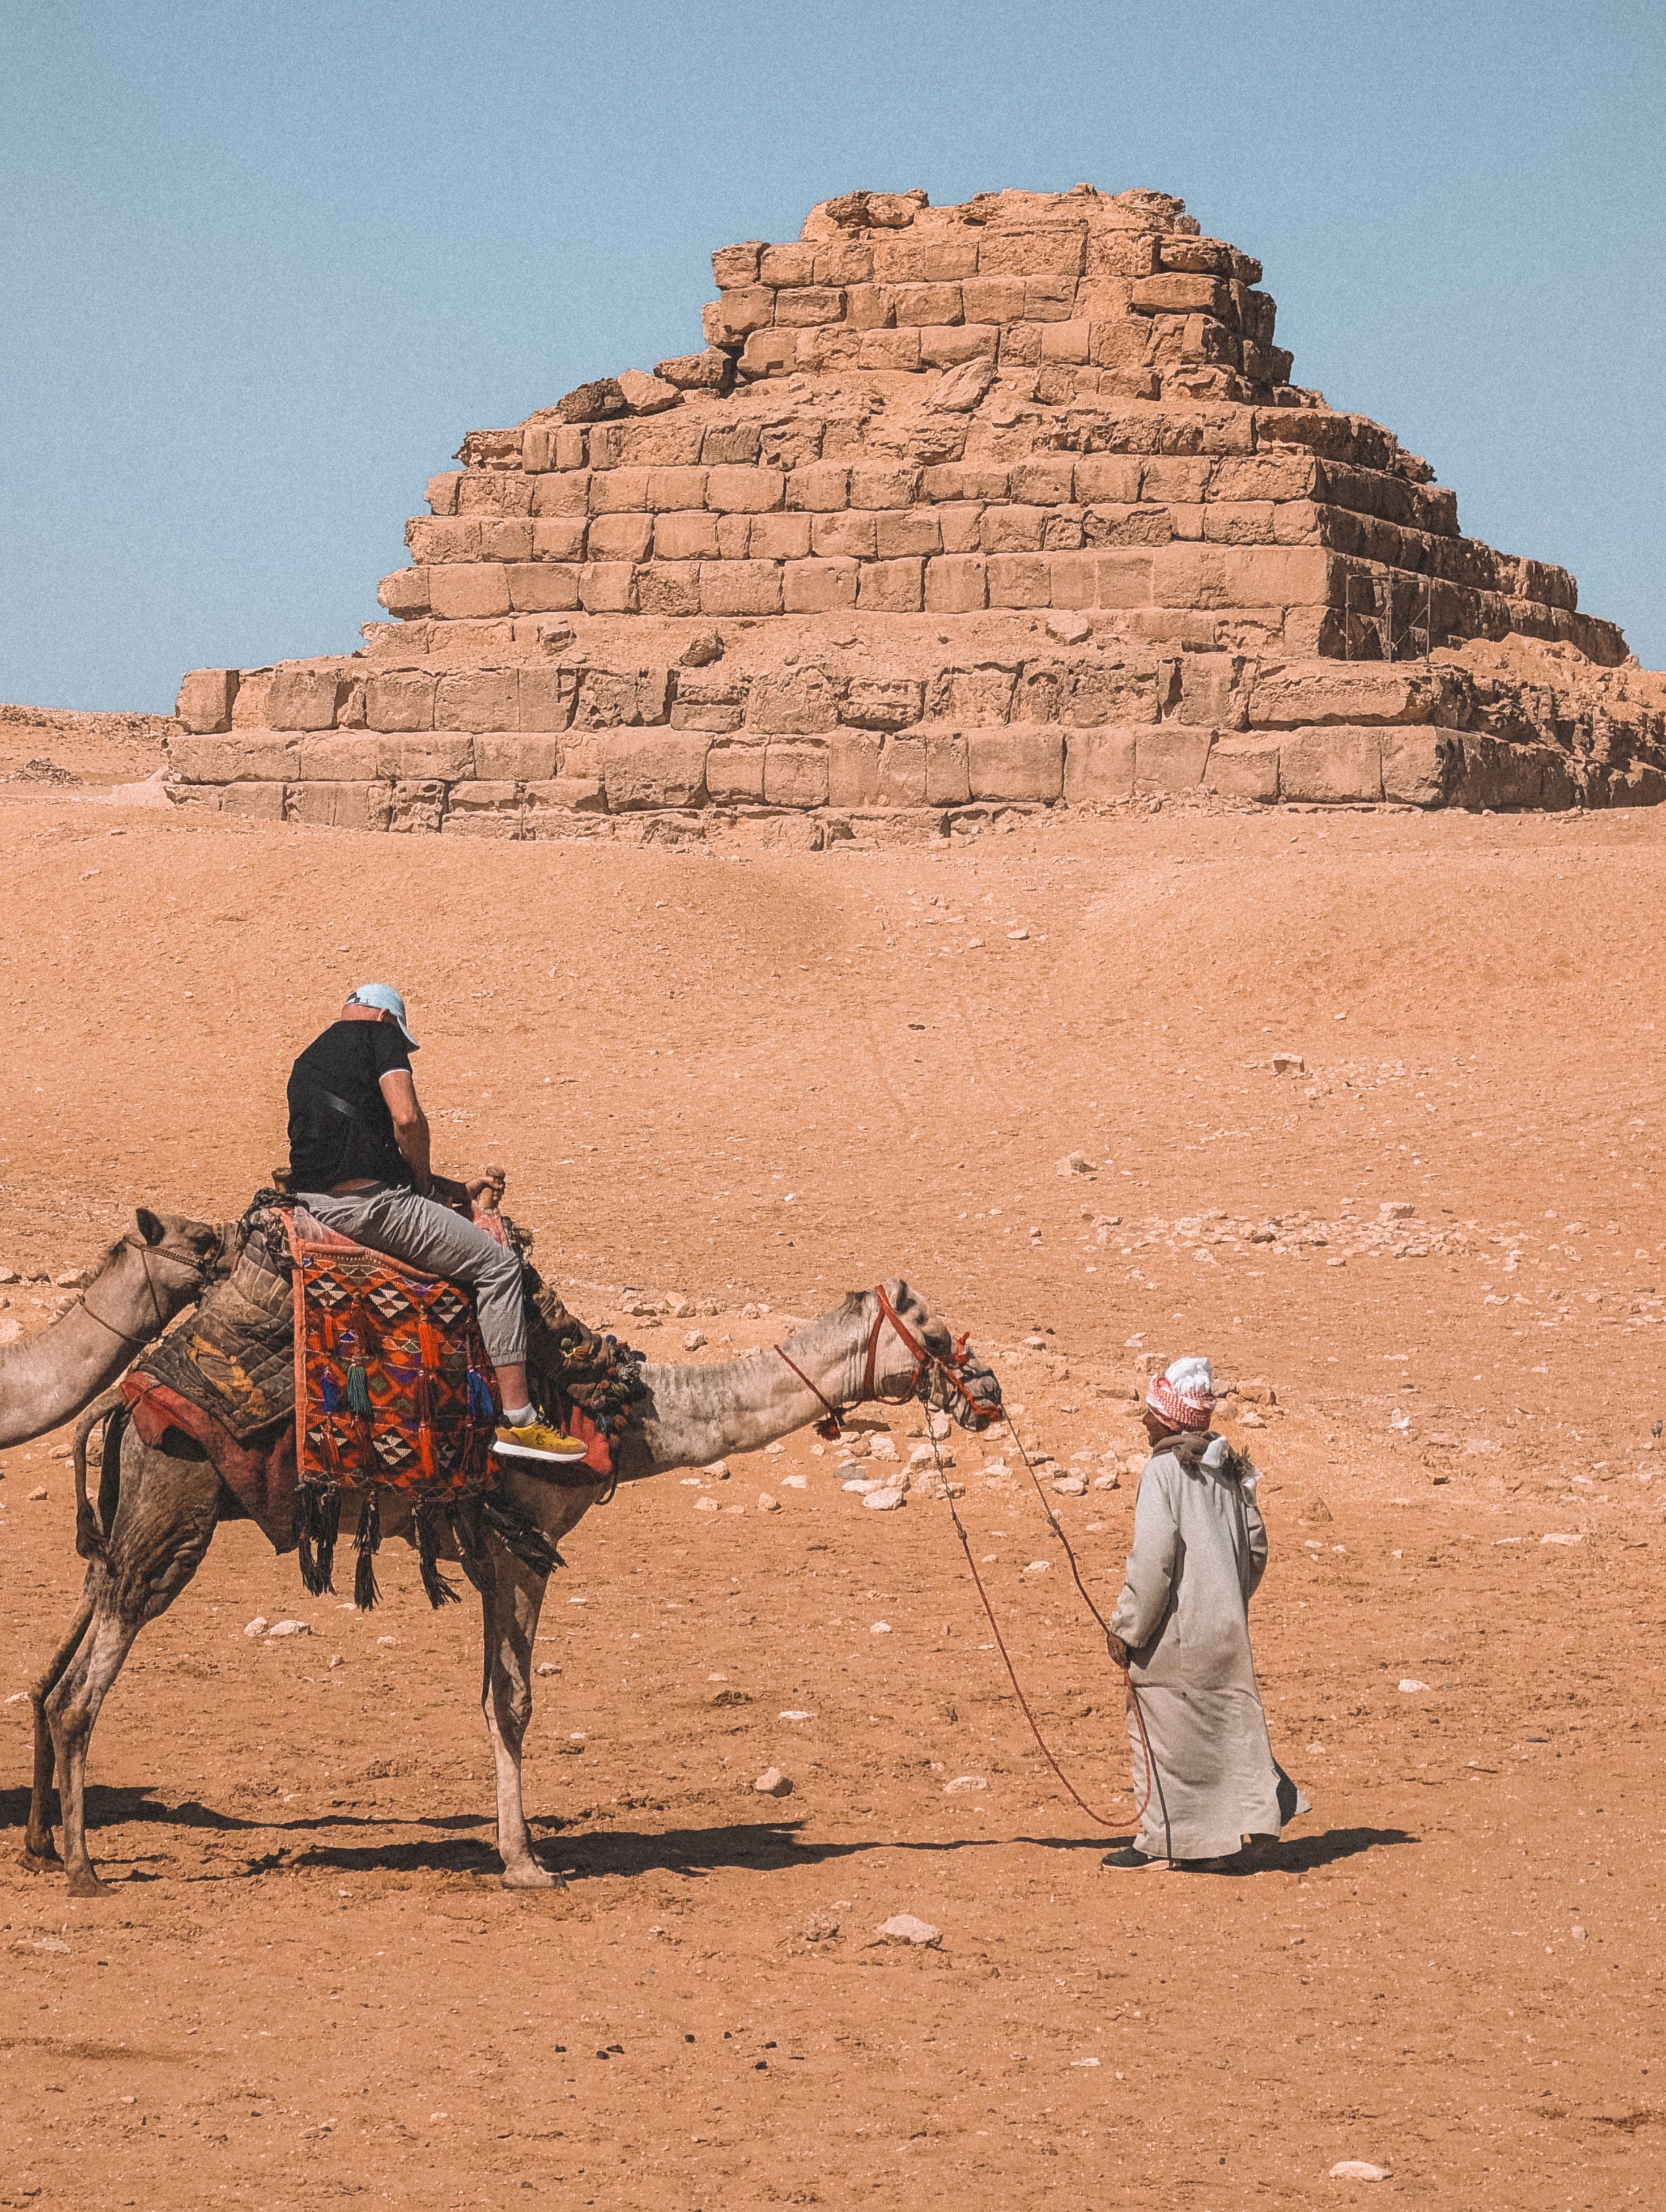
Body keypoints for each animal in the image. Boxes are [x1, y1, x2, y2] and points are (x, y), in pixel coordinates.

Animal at [23, 1280, 1000, 1895]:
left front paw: (515, 1850)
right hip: (172, 1515)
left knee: (59, 1665)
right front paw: (528, 1864)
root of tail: (123, 1404)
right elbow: (517, 1701)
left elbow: (494, 1697)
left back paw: (43, 1848)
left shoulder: (489, 1552)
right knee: (82, 1689)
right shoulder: (524, 1544)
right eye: (936, 1335)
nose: (989, 1390)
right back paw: (83, 1869)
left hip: (125, 1523)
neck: (626, 1414)